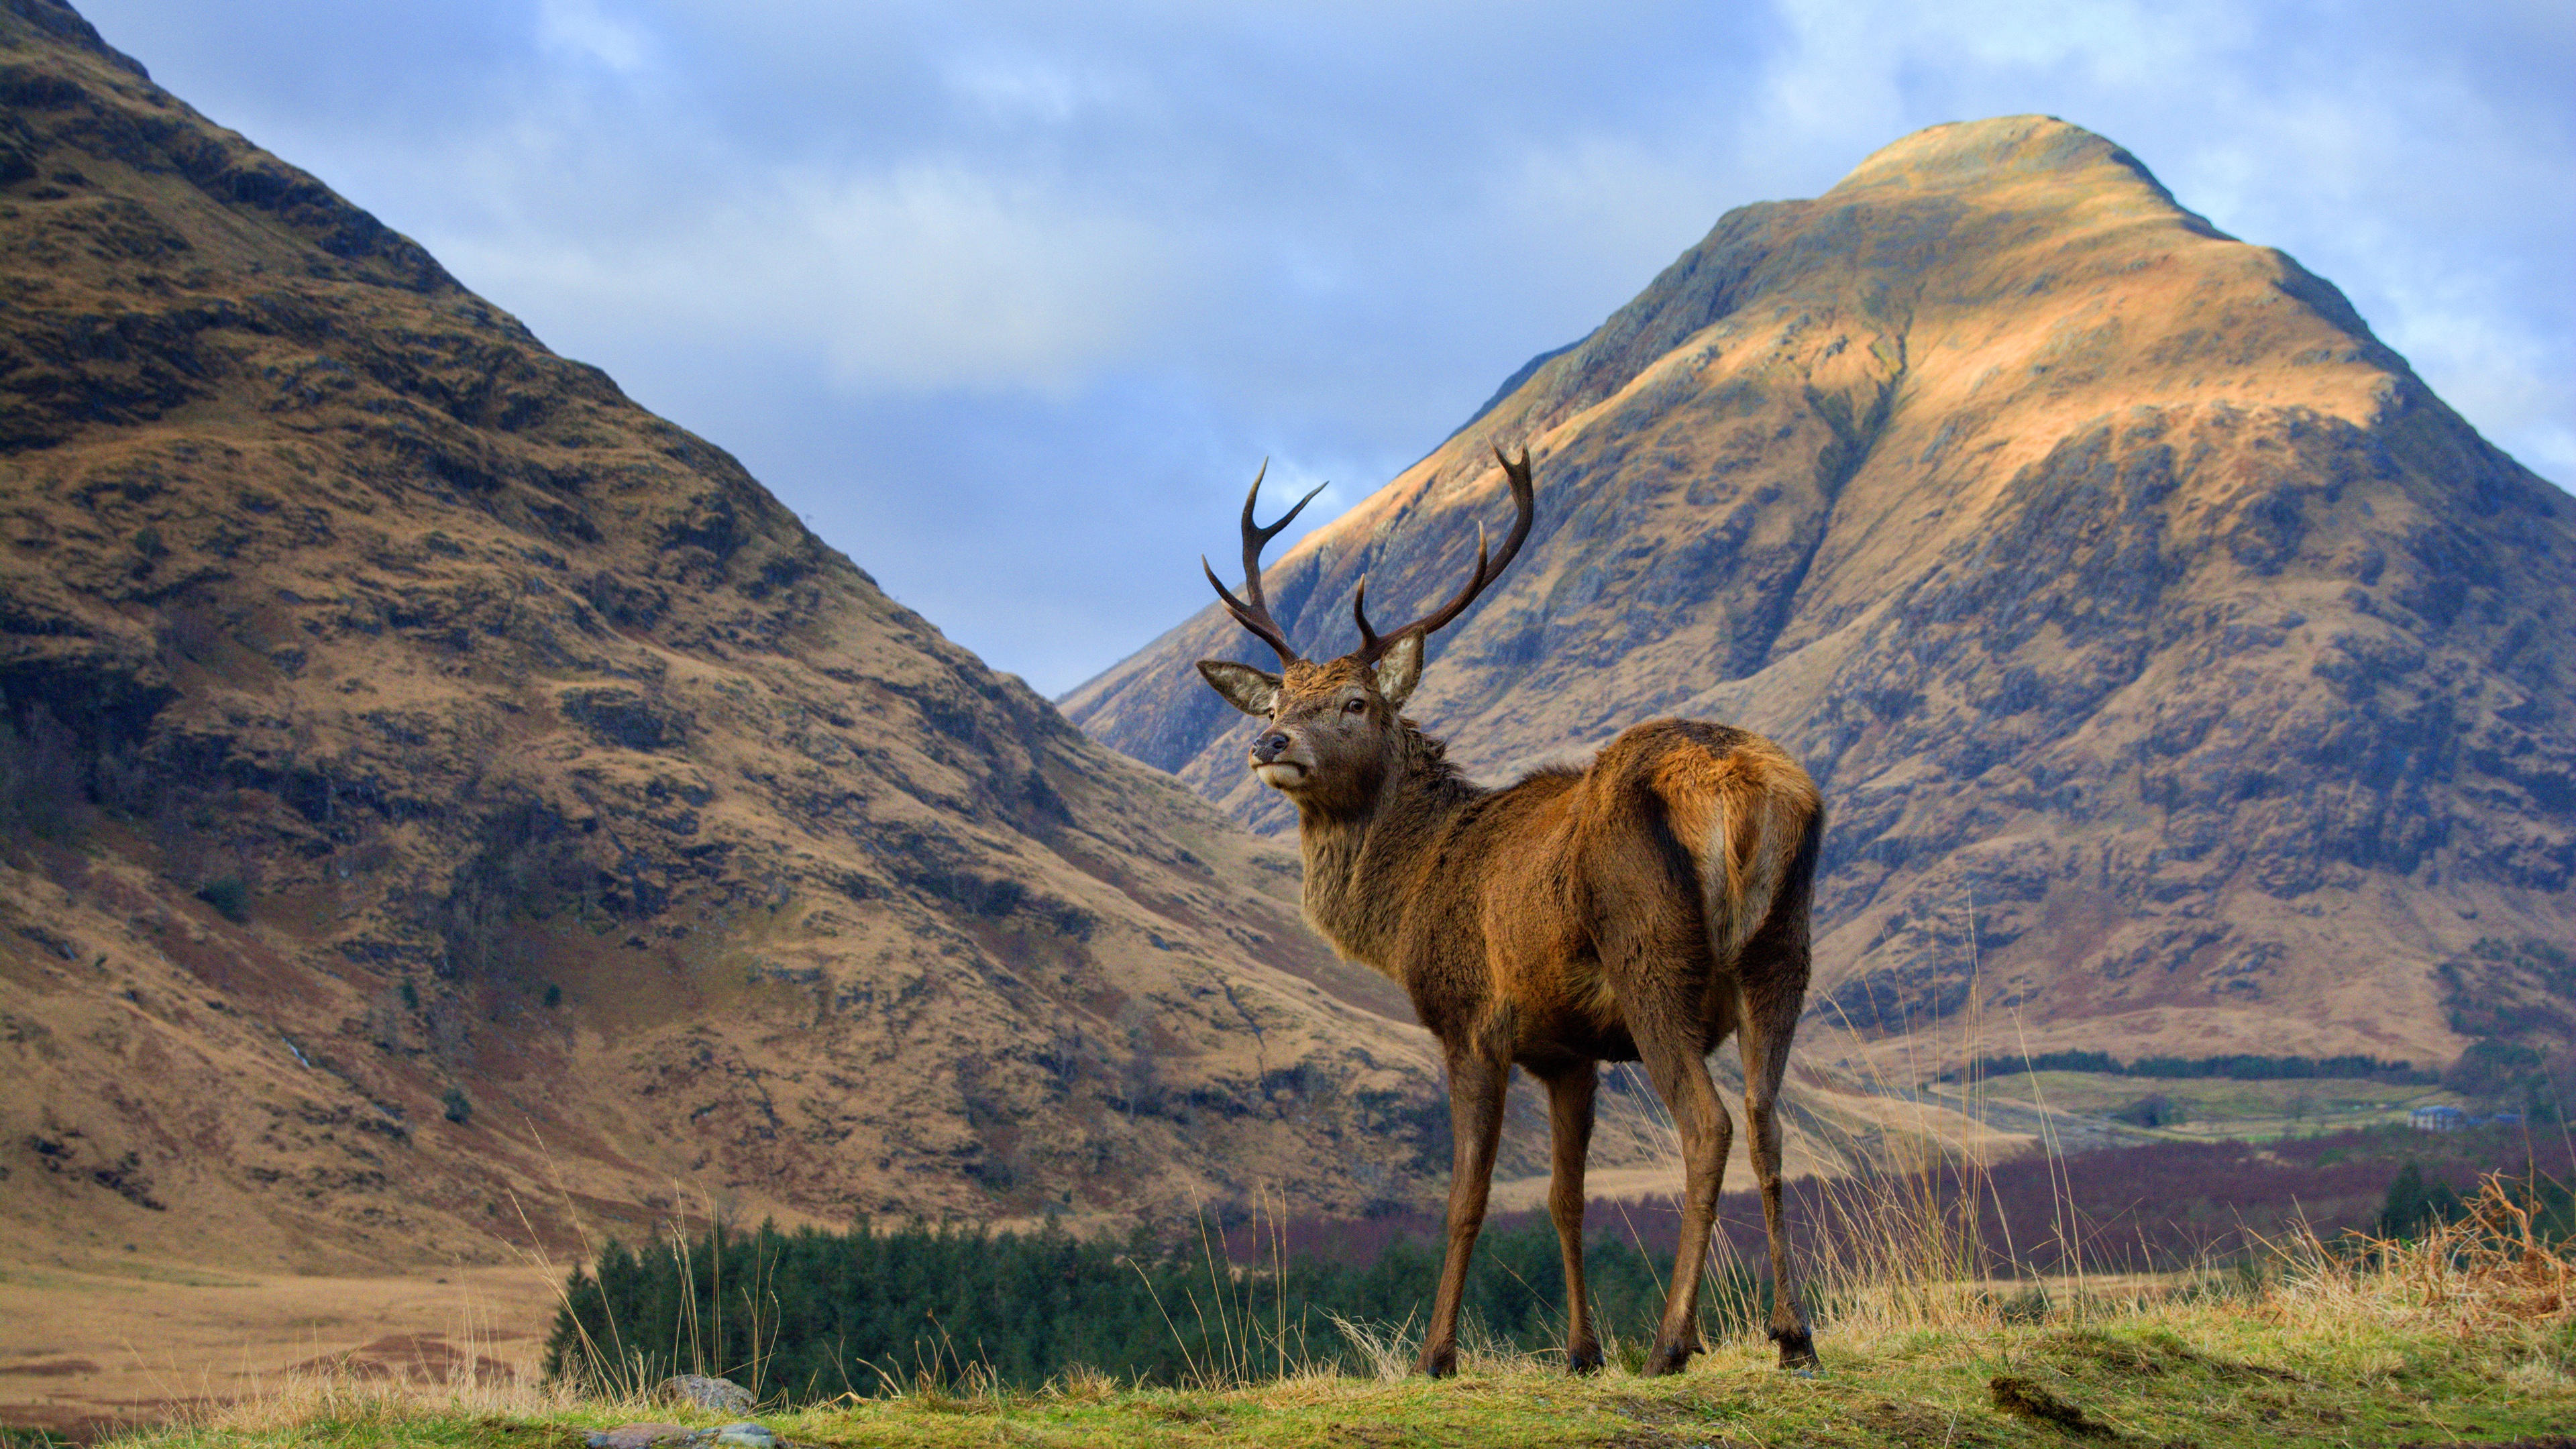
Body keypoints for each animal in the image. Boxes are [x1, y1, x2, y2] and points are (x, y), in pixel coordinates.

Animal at [1191, 446, 1824, 1378]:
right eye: (1276, 703)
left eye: (1355, 703)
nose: (1269, 744)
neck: (1410, 894)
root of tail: (1738, 789)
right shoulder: (1567, 1054)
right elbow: (1567, 1199)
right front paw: (1581, 1351)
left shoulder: (1472, 1021)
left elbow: (1468, 1198)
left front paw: (1436, 1354)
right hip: (1783, 951)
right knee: (1767, 1121)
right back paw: (1792, 1334)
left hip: (1652, 956)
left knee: (1707, 1126)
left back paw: (1672, 1342)